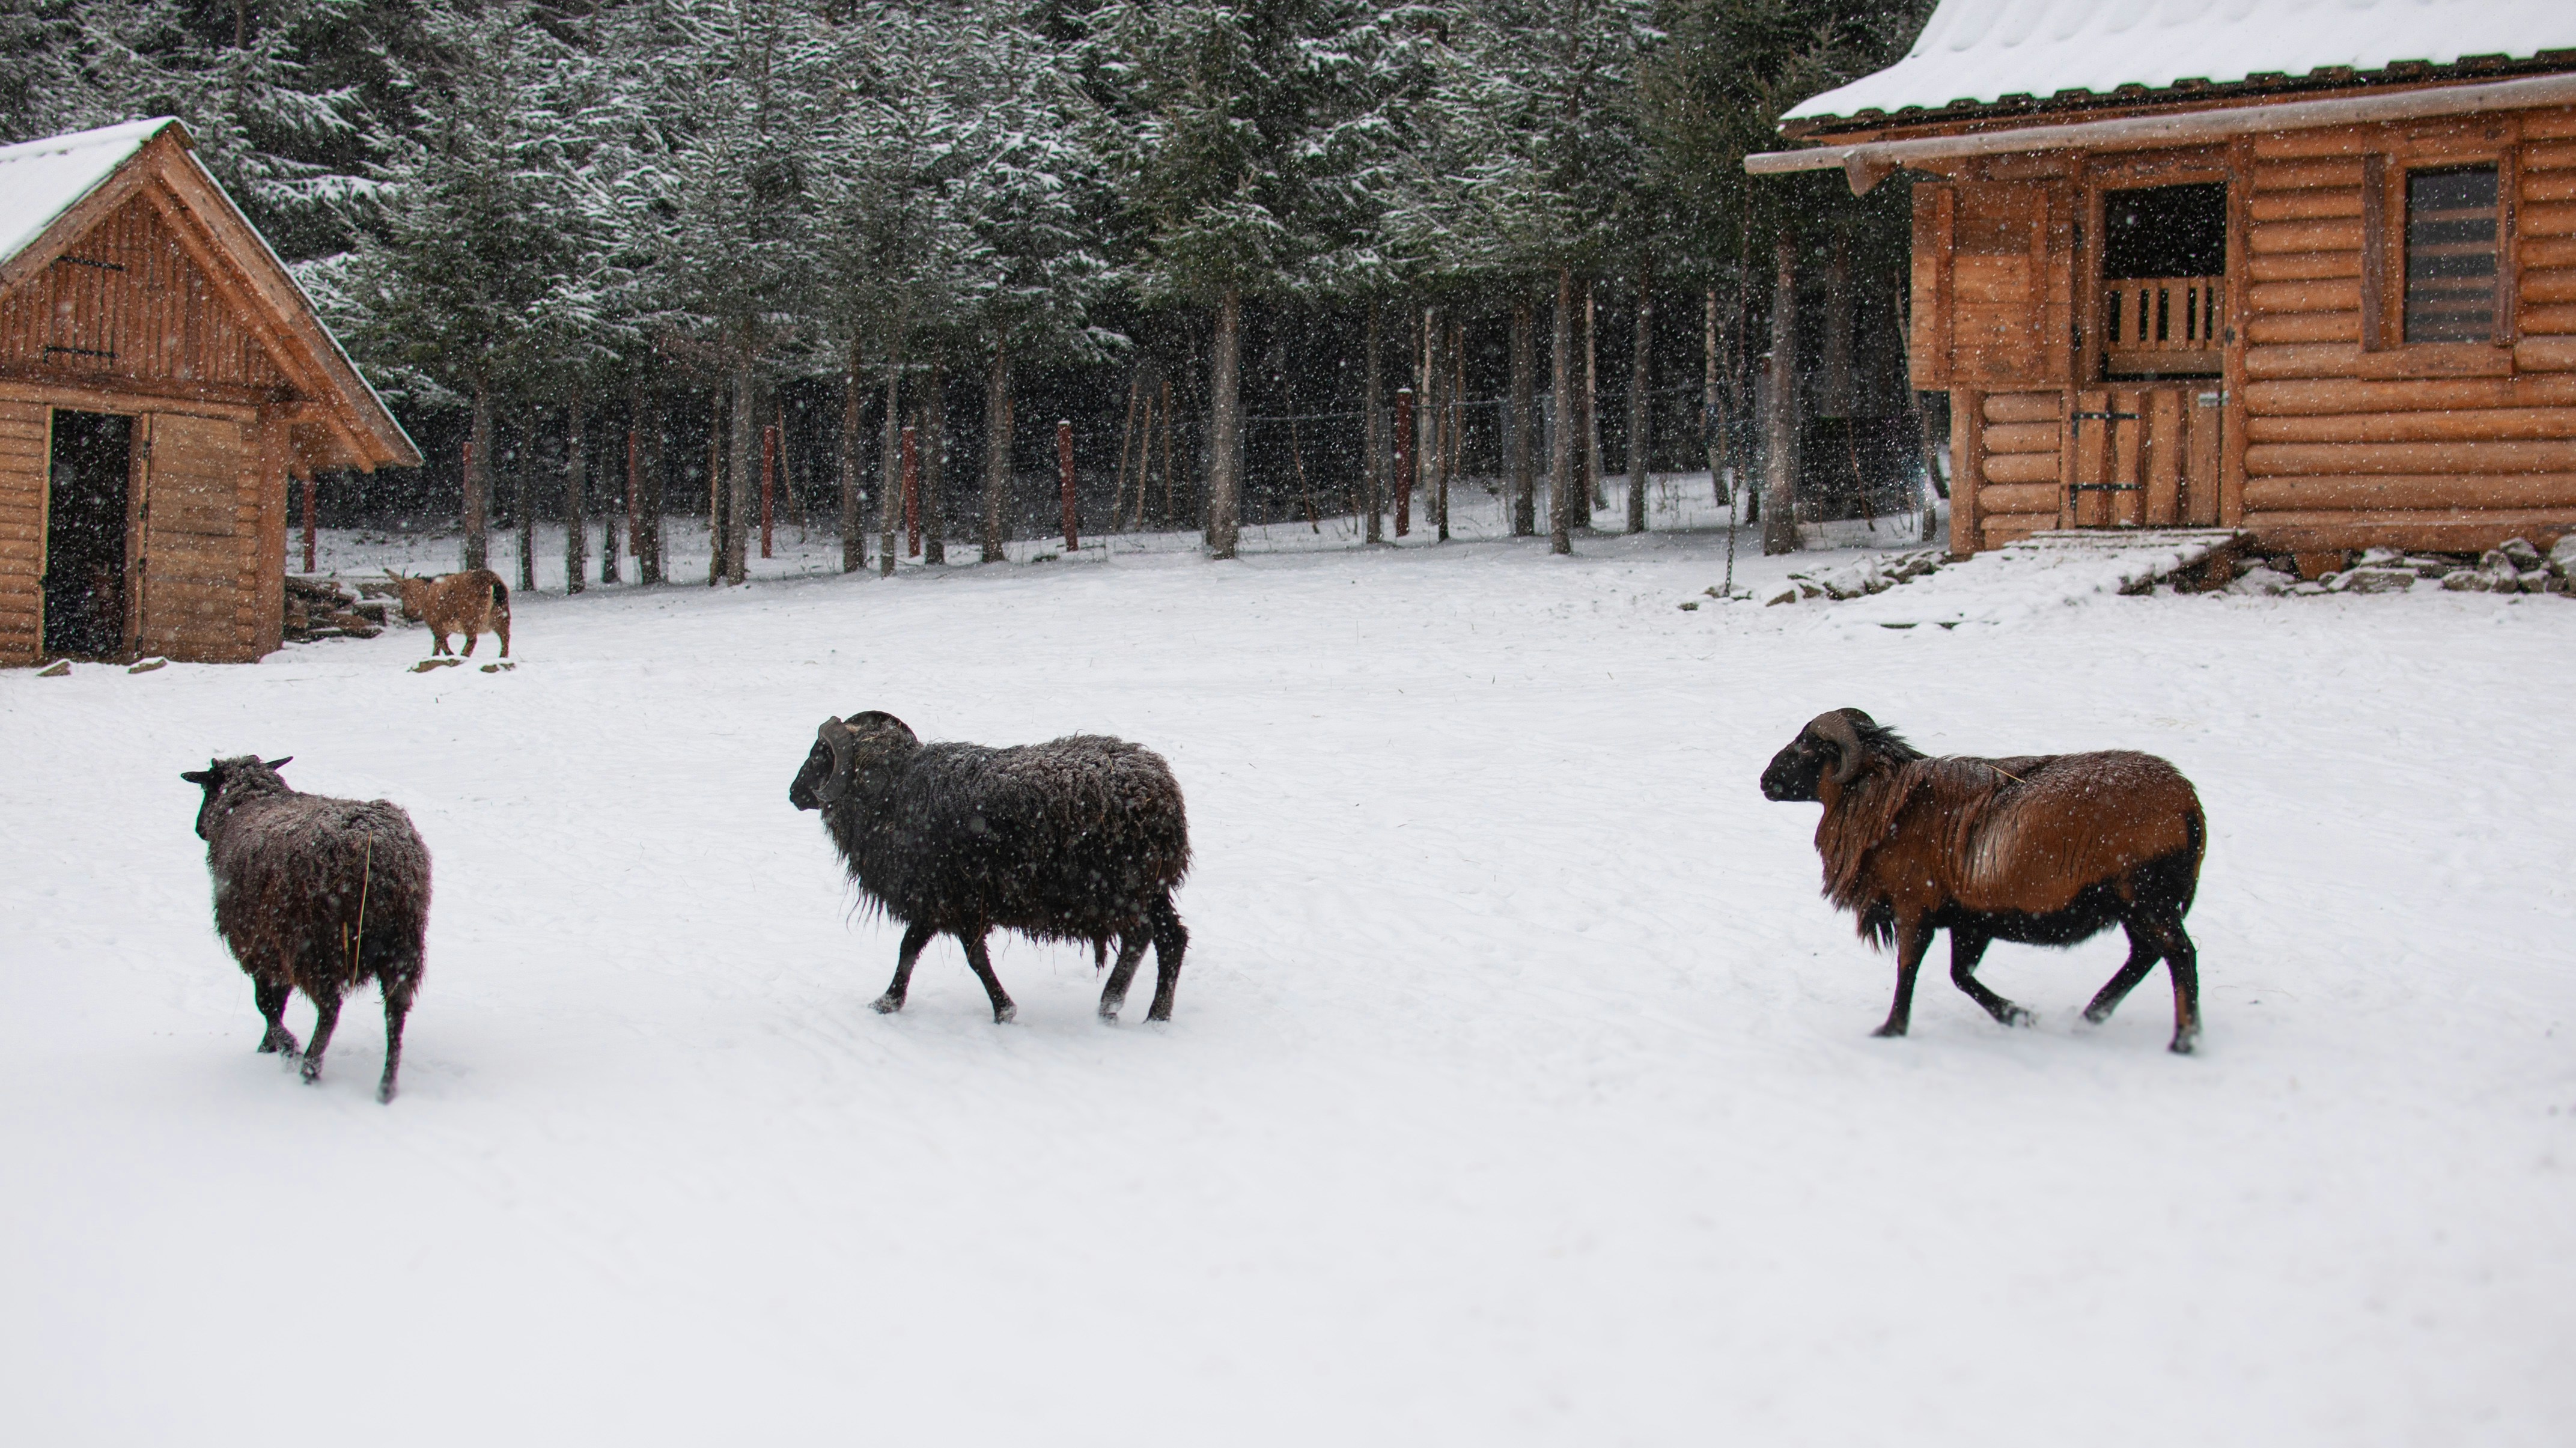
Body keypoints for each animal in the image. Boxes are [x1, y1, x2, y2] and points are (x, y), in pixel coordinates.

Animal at [179, 756, 431, 1100]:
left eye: (206, 788)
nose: (198, 829)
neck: (250, 800)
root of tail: (373, 852)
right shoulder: (275, 950)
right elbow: (278, 1000)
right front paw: (270, 1045)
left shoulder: (257, 944)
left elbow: (266, 1004)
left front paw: (286, 1048)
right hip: (401, 945)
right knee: (395, 1013)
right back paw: (386, 1084)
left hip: (315, 946)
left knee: (329, 1009)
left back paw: (310, 1066)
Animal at [386, 568, 510, 658]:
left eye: (402, 595)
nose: (405, 613)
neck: (425, 595)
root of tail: (493, 583)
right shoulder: (447, 628)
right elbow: (437, 644)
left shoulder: (434, 622)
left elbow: (441, 642)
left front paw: (449, 655)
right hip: (501, 615)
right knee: (505, 636)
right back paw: (502, 657)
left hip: (469, 617)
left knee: (472, 640)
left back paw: (462, 656)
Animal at [787, 711, 1192, 1024]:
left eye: (820, 756)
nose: (793, 794)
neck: (892, 792)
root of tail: (1163, 789)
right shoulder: (938, 902)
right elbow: (911, 949)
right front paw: (887, 1002)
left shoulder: (955, 900)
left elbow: (971, 958)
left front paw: (1003, 1010)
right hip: (1151, 885)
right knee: (1171, 938)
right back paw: (1156, 1016)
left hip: (1117, 887)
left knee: (1141, 936)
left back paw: (1112, 1003)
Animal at [1760, 709, 2206, 1053]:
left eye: (1806, 746)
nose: (1764, 780)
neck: (1884, 805)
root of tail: (2190, 806)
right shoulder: (1970, 920)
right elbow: (1962, 975)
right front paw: (2018, 1016)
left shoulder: (1913, 908)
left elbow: (1909, 970)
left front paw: (1891, 1030)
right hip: (2133, 905)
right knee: (2144, 956)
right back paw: (2090, 1017)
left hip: (2146, 896)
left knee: (2179, 954)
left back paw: (2184, 1041)